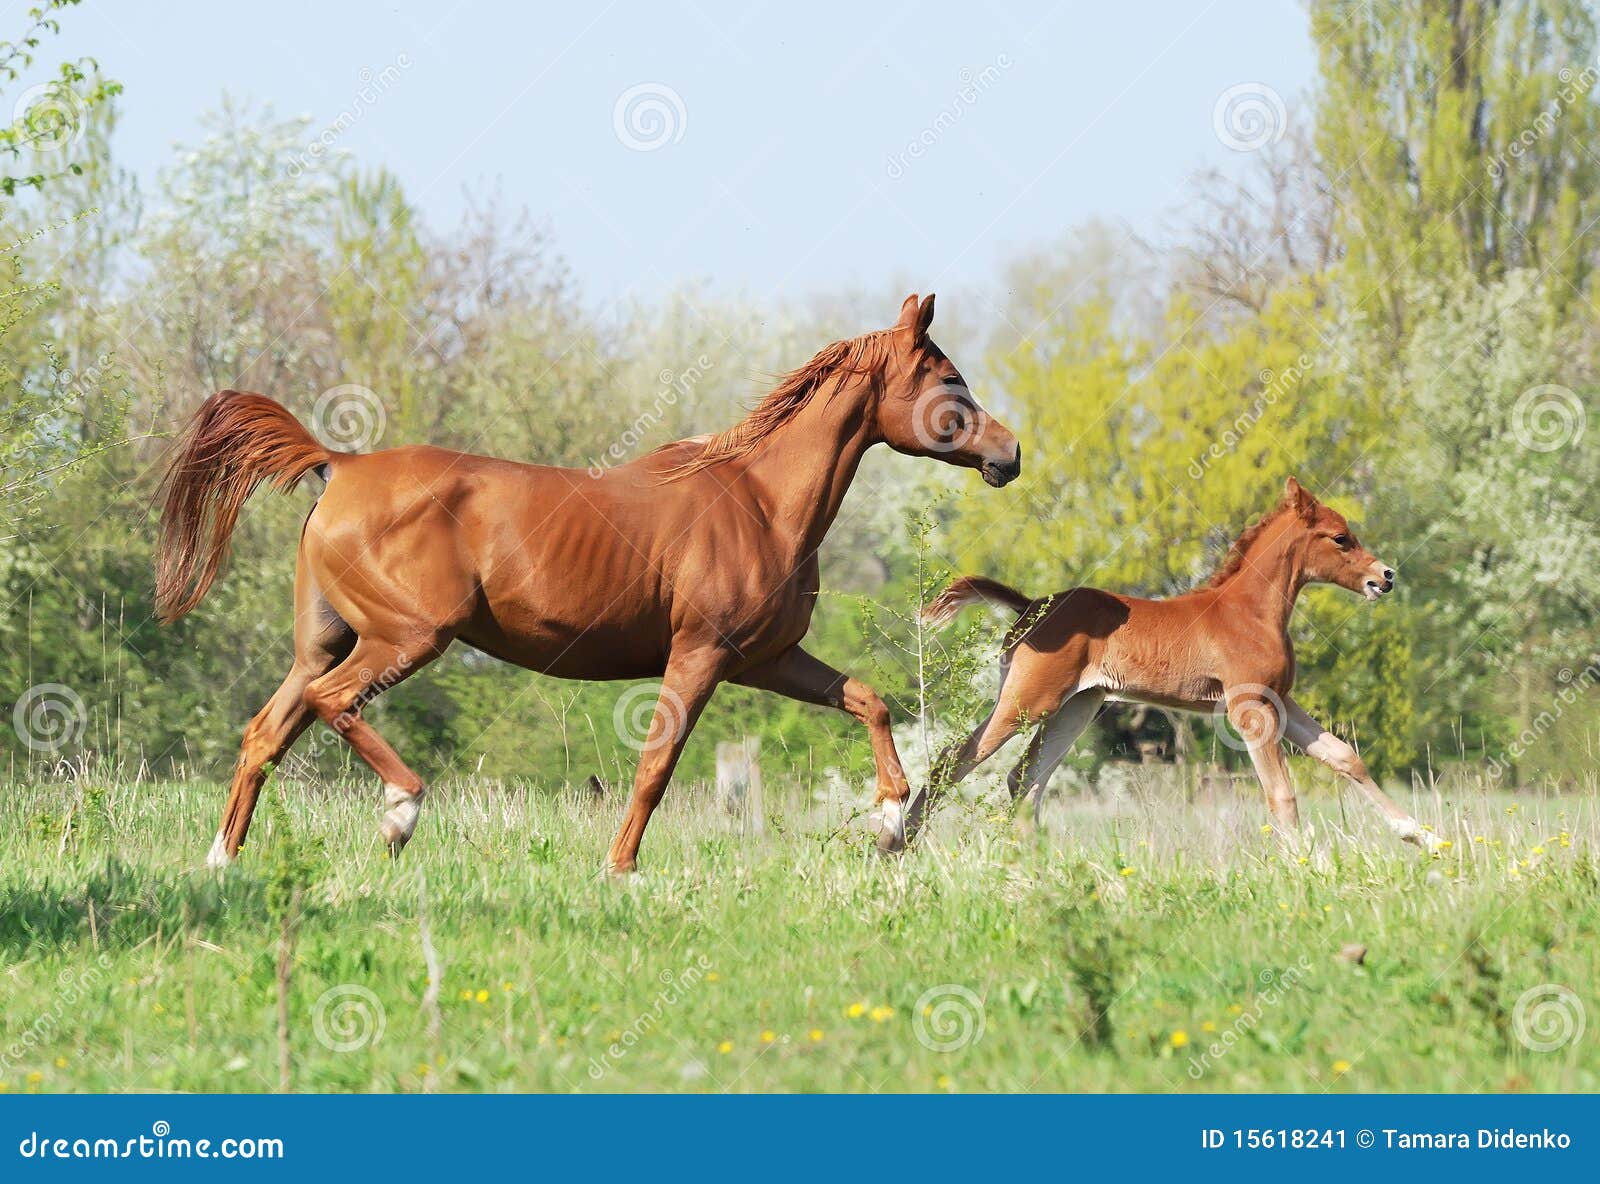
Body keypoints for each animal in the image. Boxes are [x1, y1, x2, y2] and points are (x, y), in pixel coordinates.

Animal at [155, 294, 1021, 872]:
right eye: (950, 378)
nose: (1009, 454)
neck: (760, 501)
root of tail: (341, 466)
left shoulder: (766, 660)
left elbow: (869, 700)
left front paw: (892, 822)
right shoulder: (701, 654)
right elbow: (656, 766)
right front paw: (620, 868)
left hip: (327, 642)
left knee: (267, 731)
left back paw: (223, 860)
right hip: (406, 638)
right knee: (330, 706)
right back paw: (400, 813)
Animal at [911, 477, 1443, 852]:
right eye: (1340, 538)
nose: (1385, 576)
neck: (1249, 611)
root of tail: (1031, 605)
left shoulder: (1280, 701)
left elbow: (1344, 756)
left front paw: (1426, 837)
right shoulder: (1248, 709)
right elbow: (1281, 793)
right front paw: (1306, 863)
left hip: (1076, 707)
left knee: (1025, 777)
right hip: (1029, 700)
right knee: (951, 761)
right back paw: (902, 848)